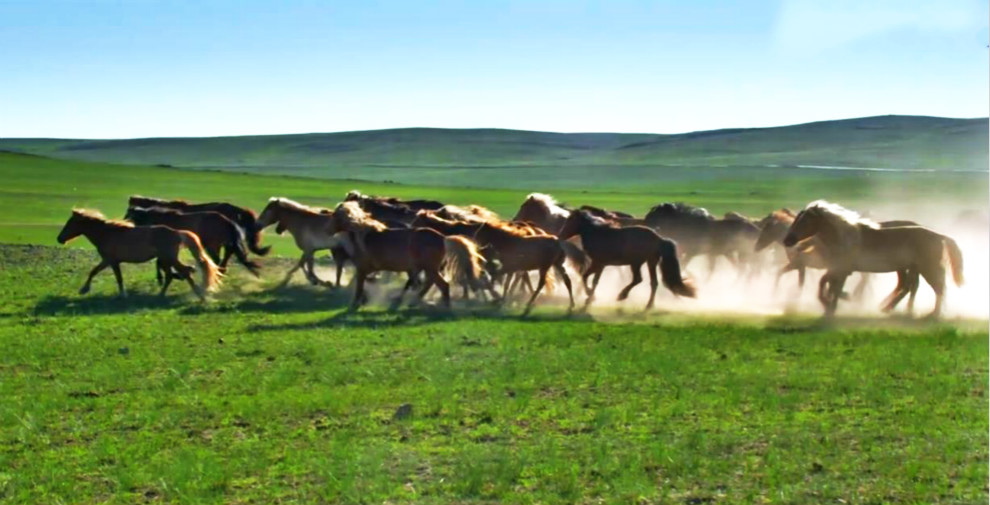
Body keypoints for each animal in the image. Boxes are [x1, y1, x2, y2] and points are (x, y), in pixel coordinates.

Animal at [56, 209, 221, 299]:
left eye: (70, 223)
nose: (59, 239)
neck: (107, 233)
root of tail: (177, 233)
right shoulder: (109, 261)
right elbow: (97, 272)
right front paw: (84, 289)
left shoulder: (111, 261)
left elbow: (113, 277)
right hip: (166, 260)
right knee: (172, 275)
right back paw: (161, 295)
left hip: (169, 259)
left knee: (185, 272)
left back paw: (200, 296)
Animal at [124, 207, 261, 278]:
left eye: (136, 219)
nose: (138, 234)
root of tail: (227, 221)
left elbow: (160, 262)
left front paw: (164, 276)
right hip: (218, 245)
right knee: (226, 254)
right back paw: (220, 271)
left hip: (213, 245)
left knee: (222, 257)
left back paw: (218, 271)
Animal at [332, 202, 492, 311]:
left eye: (336, 215)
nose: (329, 230)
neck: (363, 235)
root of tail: (443, 238)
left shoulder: (362, 268)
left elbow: (359, 286)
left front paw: (356, 303)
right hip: (429, 268)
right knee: (430, 283)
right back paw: (415, 302)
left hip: (430, 268)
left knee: (442, 285)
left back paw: (443, 306)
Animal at [559, 210, 695, 310]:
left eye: (570, 220)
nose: (560, 235)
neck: (597, 234)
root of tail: (659, 239)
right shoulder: (598, 264)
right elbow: (585, 276)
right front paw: (589, 297)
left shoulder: (600, 263)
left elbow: (593, 280)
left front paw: (589, 300)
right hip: (646, 262)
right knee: (650, 282)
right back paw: (644, 303)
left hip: (640, 262)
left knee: (642, 280)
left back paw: (627, 298)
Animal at [783, 200, 963, 318]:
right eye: (797, 219)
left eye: (805, 221)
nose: (788, 240)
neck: (844, 238)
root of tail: (939, 235)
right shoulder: (838, 269)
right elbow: (826, 284)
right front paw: (831, 306)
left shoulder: (841, 269)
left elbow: (831, 286)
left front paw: (832, 305)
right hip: (913, 268)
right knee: (912, 286)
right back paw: (893, 308)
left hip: (928, 268)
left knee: (938, 288)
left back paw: (932, 314)